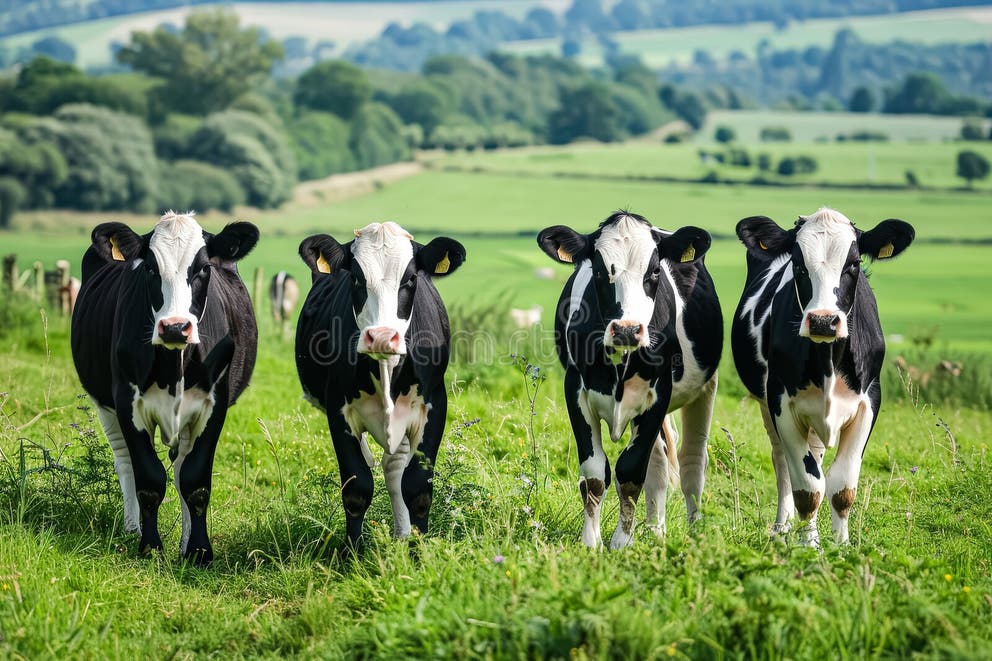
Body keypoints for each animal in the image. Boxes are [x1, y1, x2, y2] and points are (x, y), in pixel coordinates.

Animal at [71, 212, 259, 565]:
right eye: (148, 267)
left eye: (204, 267)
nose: (174, 327)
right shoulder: (126, 400)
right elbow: (149, 479)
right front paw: (150, 547)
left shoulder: (214, 404)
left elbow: (195, 481)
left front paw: (199, 551)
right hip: (105, 405)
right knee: (124, 461)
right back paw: (132, 529)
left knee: (182, 465)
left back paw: (184, 542)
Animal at [294, 221, 465, 548]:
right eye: (355, 278)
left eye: (410, 278)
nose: (383, 337)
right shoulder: (338, 409)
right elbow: (357, 488)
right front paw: (352, 553)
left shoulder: (435, 404)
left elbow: (417, 488)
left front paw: (417, 550)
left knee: (394, 467)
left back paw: (402, 535)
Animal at [537, 211, 722, 549]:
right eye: (598, 270)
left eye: (654, 270)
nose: (627, 329)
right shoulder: (575, 389)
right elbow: (595, 473)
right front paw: (592, 541)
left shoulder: (660, 393)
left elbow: (632, 469)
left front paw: (622, 543)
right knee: (660, 461)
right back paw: (655, 530)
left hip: (706, 388)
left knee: (692, 464)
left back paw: (694, 533)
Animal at [731, 207, 914, 546]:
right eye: (798, 264)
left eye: (854, 263)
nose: (823, 321)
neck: (828, 359)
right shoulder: (780, 401)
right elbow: (808, 487)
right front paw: (810, 546)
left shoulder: (869, 401)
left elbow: (842, 486)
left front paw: (842, 546)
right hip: (767, 403)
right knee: (782, 462)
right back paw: (783, 525)